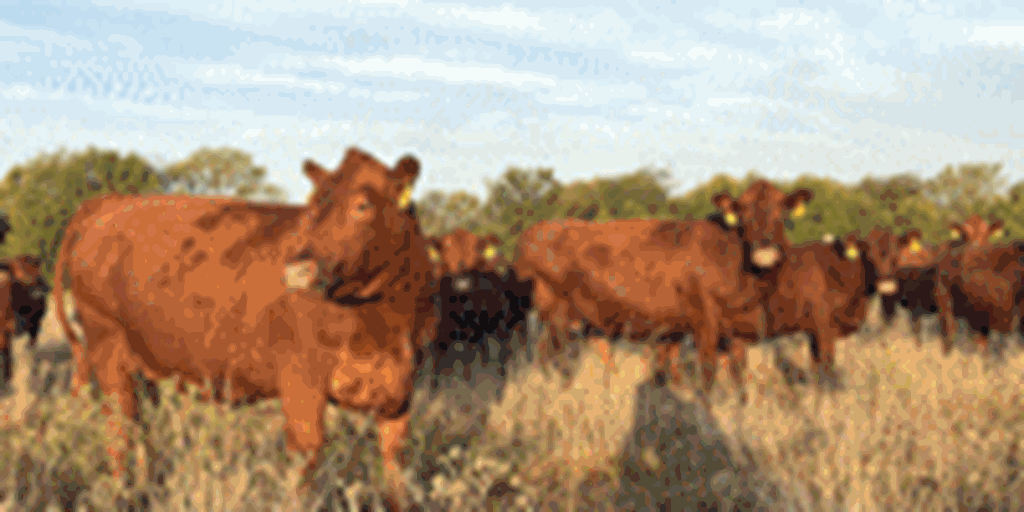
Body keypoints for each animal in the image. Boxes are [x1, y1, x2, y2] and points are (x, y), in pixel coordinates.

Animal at [0, 255, 50, 385]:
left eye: (37, 269)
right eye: (18, 273)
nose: (42, 288)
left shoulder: (35, 326)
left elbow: (31, 353)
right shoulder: (5, 332)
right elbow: (8, 358)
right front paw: (7, 380)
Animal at [53, 146, 436, 511]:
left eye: (362, 205)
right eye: (313, 207)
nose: (298, 270)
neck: (383, 324)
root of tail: (111, 202)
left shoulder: (400, 395)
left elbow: (395, 470)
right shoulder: (302, 385)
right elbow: (304, 464)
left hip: (144, 366)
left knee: (142, 429)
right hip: (107, 349)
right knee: (120, 430)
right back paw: (123, 495)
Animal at [514, 180, 813, 405]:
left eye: (782, 214)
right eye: (744, 214)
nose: (765, 249)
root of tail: (538, 229)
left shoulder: (736, 327)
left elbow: (738, 374)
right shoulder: (705, 322)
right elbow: (708, 372)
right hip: (555, 315)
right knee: (551, 359)